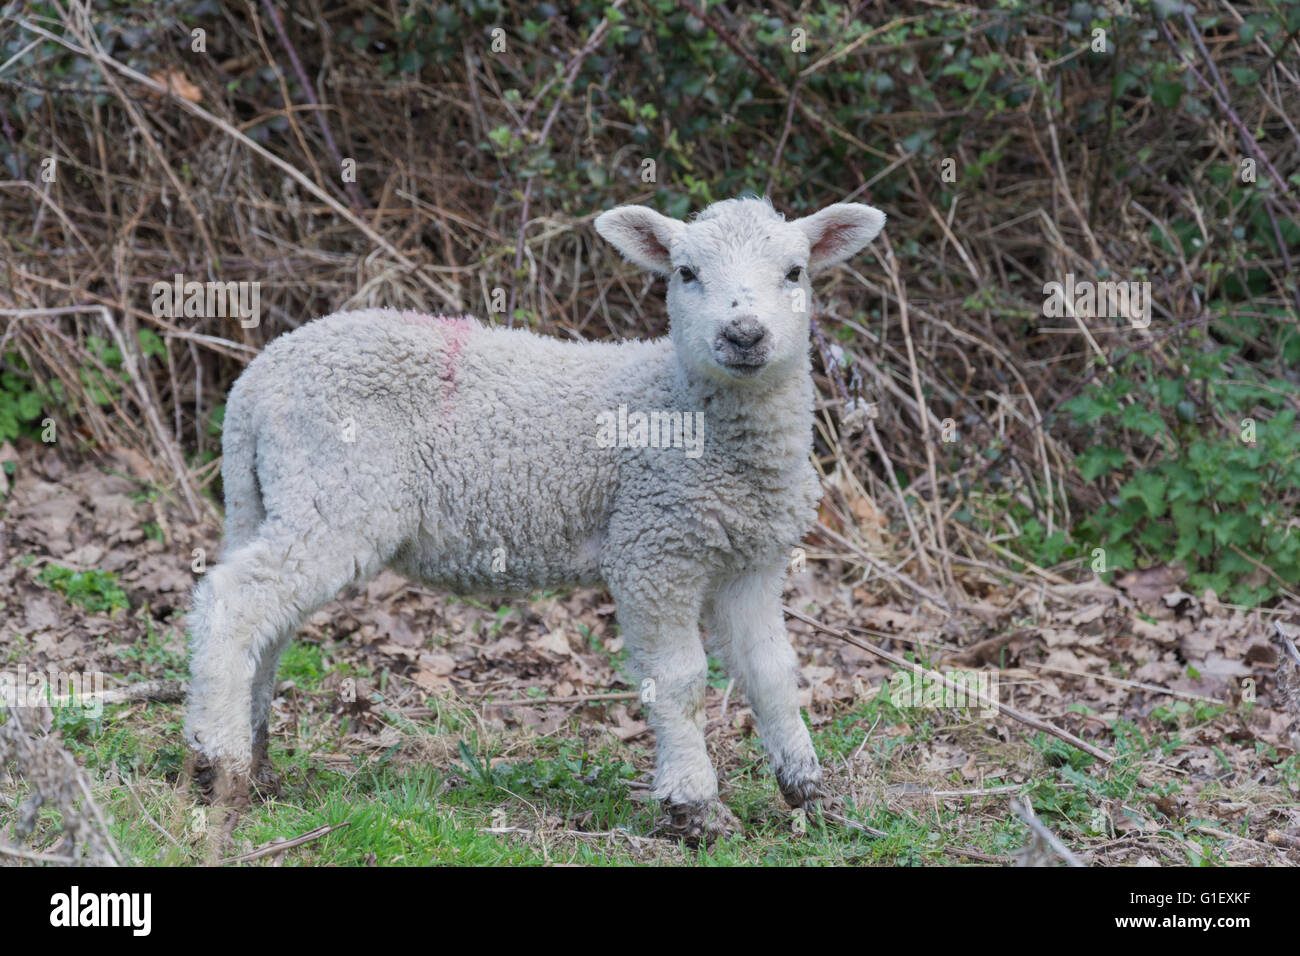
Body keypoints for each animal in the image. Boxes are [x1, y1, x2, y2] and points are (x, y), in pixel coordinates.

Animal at [184, 196, 886, 844]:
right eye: (685, 273)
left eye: (795, 271)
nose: (743, 335)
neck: (689, 411)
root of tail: (256, 382)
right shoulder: (652, 547)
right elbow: (682, 681)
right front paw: (695, 806)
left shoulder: (754, 561)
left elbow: (774, 674)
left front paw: (808, 791)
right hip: (335, 490)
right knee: (232, 601)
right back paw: (218, 762)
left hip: (271, 497)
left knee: (268, 627)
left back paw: (255, 763)